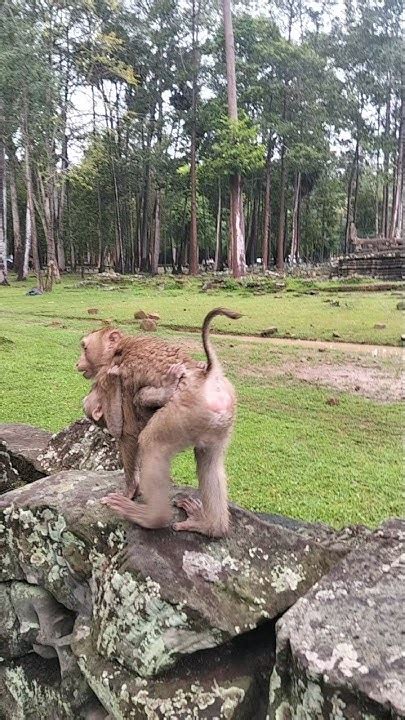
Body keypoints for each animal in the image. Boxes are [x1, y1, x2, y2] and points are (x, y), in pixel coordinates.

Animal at [77, 308, 241, 537]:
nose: (77, 363)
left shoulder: (110, 377)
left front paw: (130, 489)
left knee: (152, 443)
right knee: (208, 458)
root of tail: (208, 376)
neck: (118, 351)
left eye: (84, 348)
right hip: (215, 421)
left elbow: (124, 432)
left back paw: (151, 518)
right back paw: (211, 526)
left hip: (184, 410)